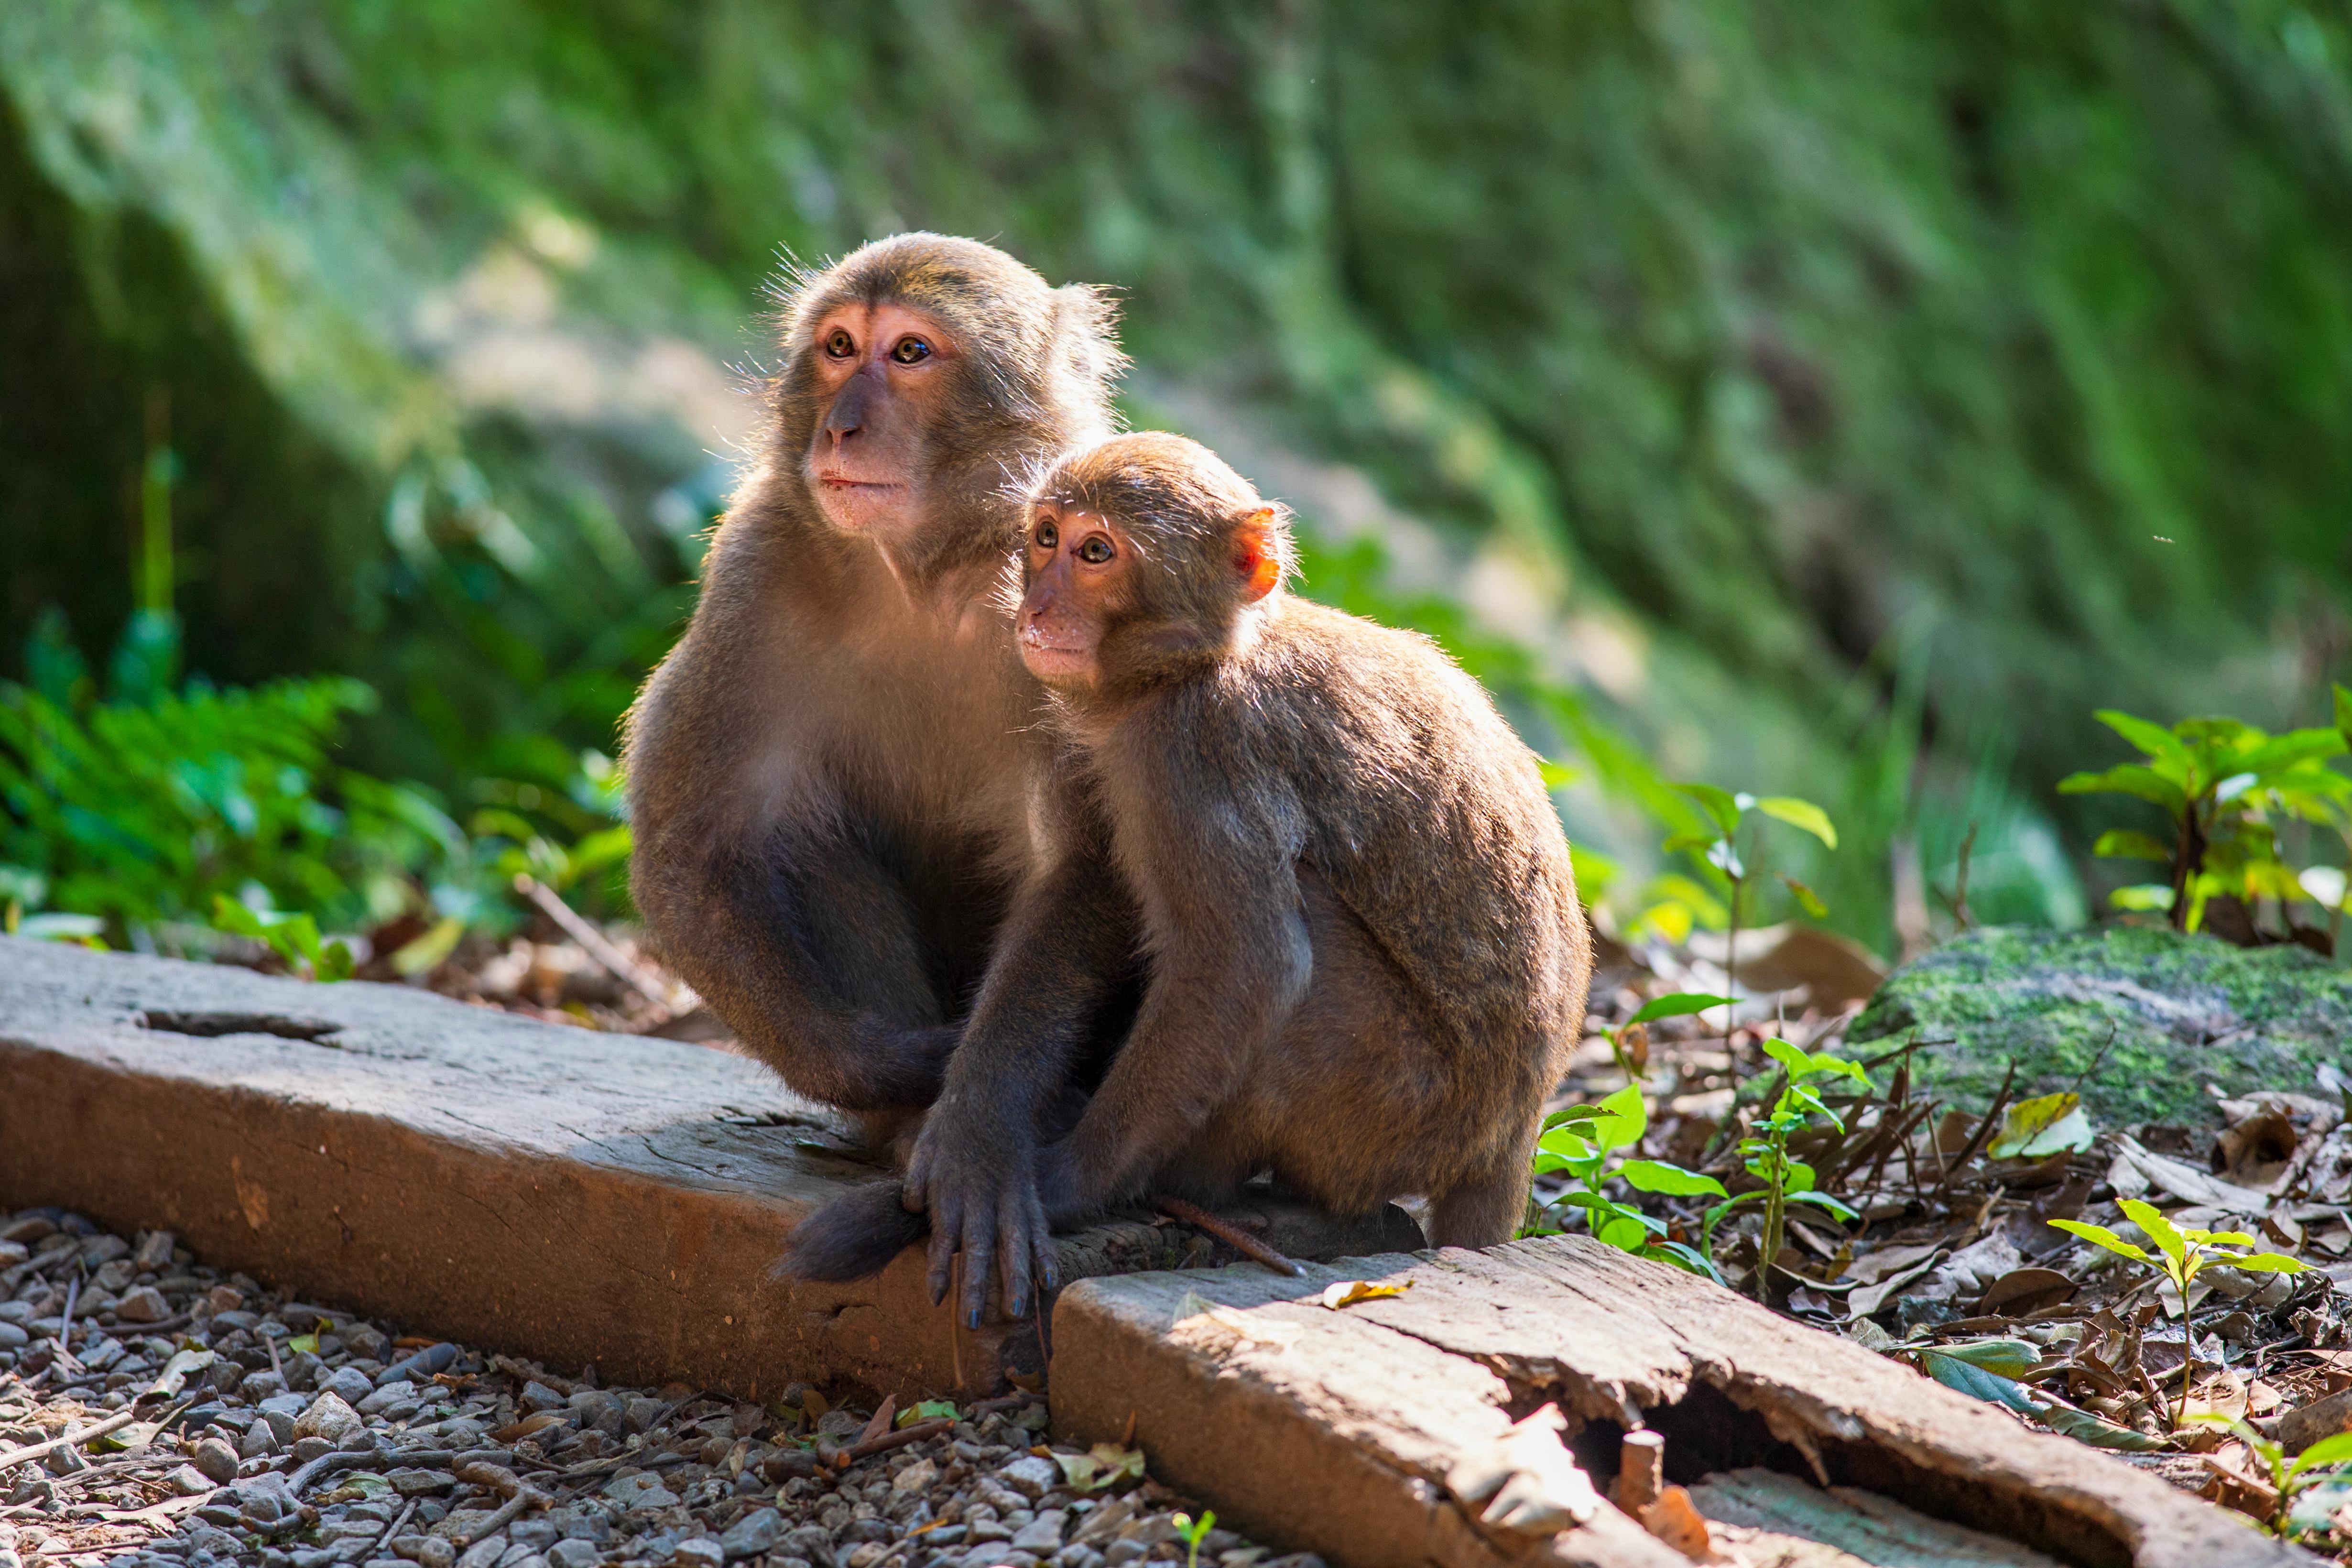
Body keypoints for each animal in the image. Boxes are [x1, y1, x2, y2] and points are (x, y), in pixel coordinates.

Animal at [622, 235, 1129, 1166]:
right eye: (839, 348)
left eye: (911, 352)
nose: (841, 426)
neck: (927, 573)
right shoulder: (757, 565)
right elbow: (697, 850)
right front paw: (890, 1066)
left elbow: (1080, 865)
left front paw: (976, 1126)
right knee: (801, 832)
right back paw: (897, 1123)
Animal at [823, 430, 1594, 1326]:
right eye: (1045, 538)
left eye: (1096, 553)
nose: (1036, 608)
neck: (1201, 658)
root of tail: (1515, 1136)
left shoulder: (1193, 750)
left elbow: (1243, 965)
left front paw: (1066, 1180)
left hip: (1398, 1104)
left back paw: (1203, 1187)